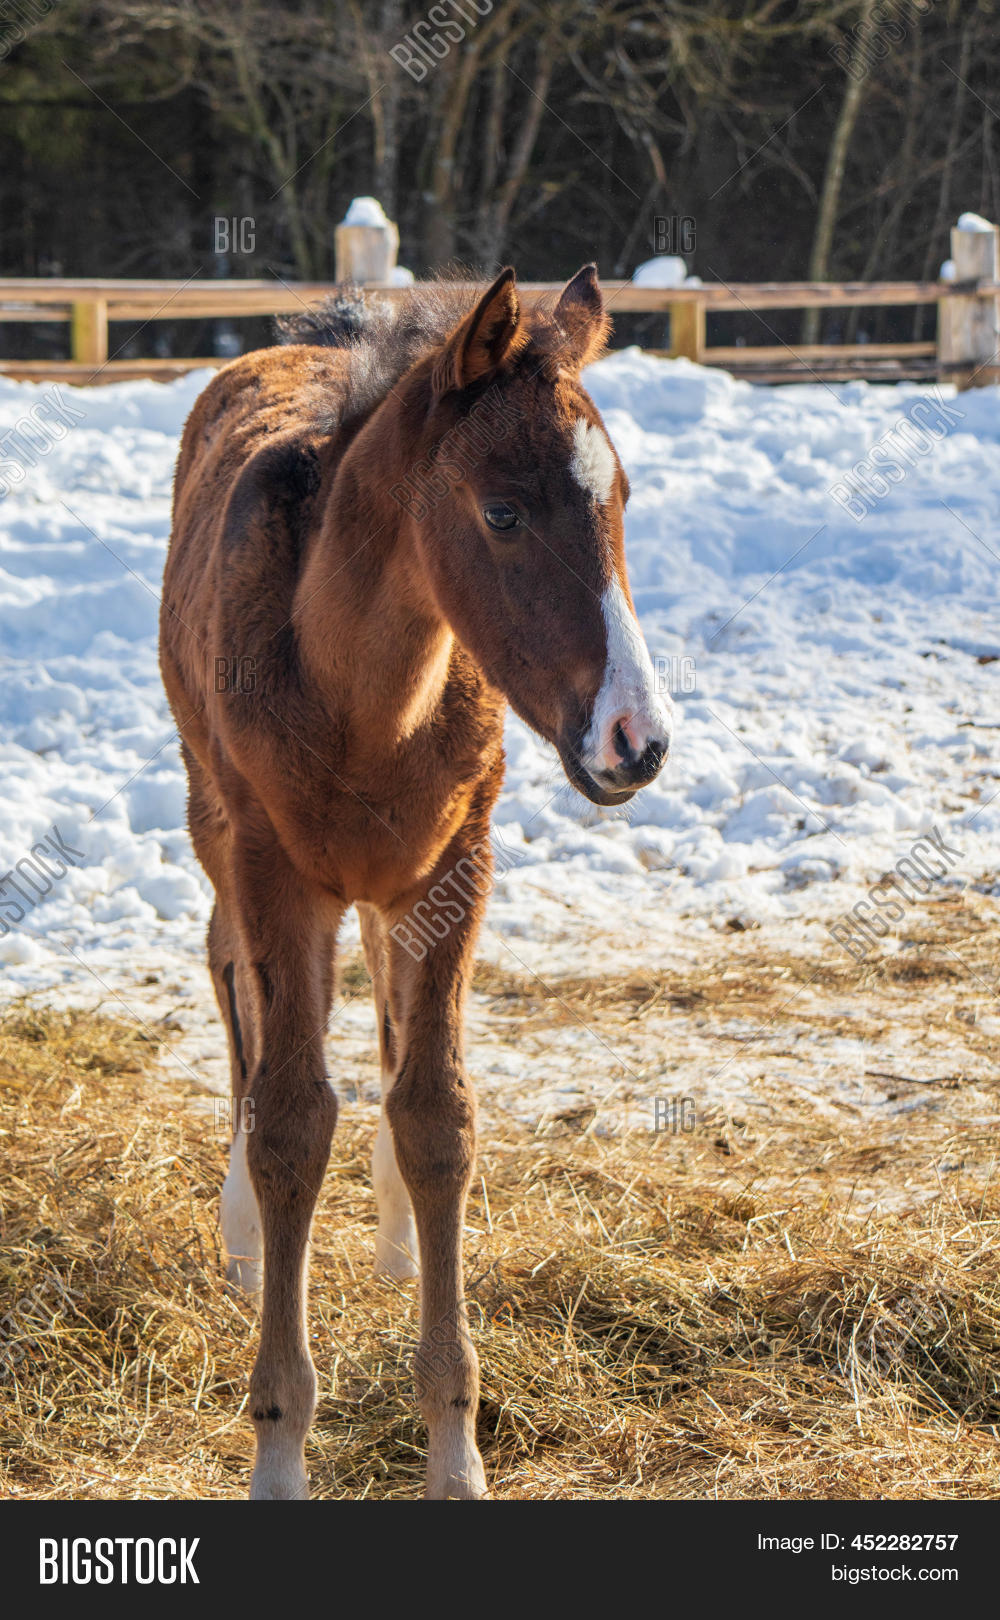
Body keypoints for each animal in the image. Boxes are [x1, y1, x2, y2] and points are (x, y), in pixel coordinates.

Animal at [159, 264, 672, 1500]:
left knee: (391, 1010)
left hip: (398, 883)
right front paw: (279, 1453)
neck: (360, 690)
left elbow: (438, 1111)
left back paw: (391, 1236)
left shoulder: (456, 864)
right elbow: (293, 1121)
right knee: (226, 975)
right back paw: (242, 1234)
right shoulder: (271, 866)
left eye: (621, 501)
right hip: (212, 816)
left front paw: (455, 1452)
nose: (635, 741)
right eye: (503, 512)